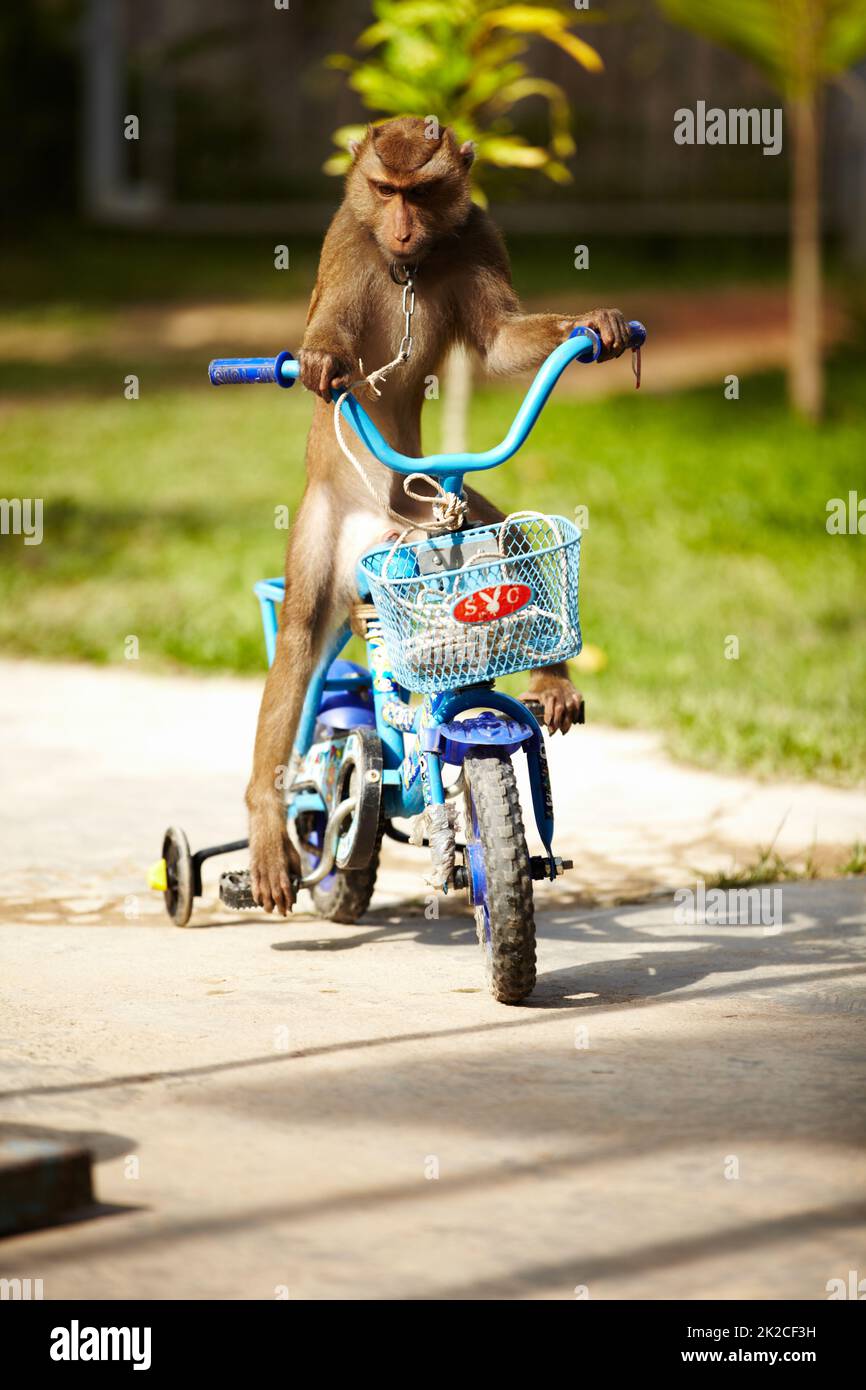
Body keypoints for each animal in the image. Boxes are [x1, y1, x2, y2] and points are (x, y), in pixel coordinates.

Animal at [247, 116, 633, 915]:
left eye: (420, 193)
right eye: (384, 189)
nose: (399, 226)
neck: (408, 268)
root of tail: (387, 521)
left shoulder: (476, 230)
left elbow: (504, 341)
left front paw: (594, 325)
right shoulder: (346, 241)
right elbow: (328, 334)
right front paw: (321, 360)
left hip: (442, 507)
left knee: (502, 526)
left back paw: (551, 679)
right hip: (330, 531)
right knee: (298, 642)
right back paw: (271, 826)